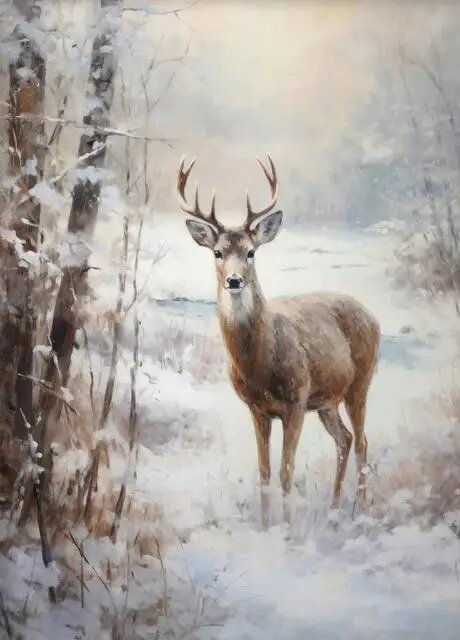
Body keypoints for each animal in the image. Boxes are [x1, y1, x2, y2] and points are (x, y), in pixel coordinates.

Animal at [177, 154, 380, 528]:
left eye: (251, 252)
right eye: (217, 252)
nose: (234, 280)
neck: (259, 361)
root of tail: (372, 316)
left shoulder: (296, 402)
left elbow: (286, 470)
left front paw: (287, 527)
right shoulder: (258, 410)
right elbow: (265, 472)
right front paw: (266, 525)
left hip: (360, 382)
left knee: (361, 442)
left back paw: (360, 510)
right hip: (326, 400)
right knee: (344, 439)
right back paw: (334, 507)